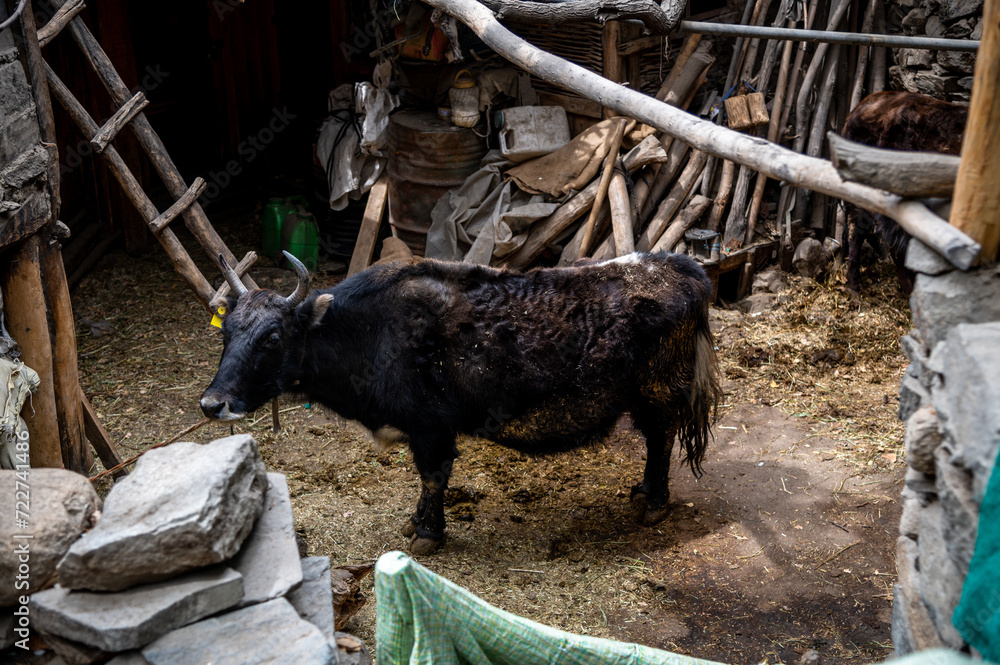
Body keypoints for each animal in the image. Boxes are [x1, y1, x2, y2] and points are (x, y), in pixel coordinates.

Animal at [200, 251, 721, 554]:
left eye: (272, 336)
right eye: (226, 333)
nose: (212, 404)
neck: (369, 331)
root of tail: (685, 268)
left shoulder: (431, 426)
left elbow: (433, 476)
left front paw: (427, 536)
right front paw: (415, 524)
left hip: (659, 391)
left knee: (661, 438)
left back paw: (653, 504)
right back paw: (642, 492)